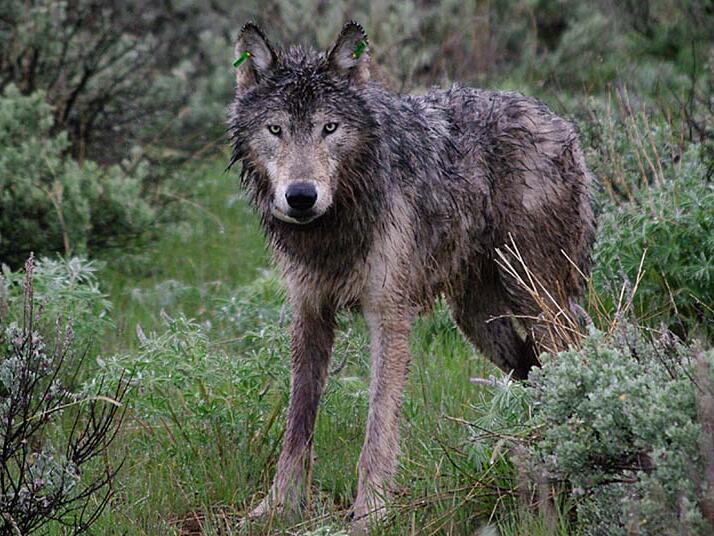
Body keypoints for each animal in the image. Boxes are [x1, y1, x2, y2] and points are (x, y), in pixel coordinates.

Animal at [228, 21, 595, 530]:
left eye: (329, 127)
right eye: (275, 129)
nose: (301, 196)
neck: (337, 226)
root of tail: (561, 122)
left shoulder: (390, 316)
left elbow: (378, 428)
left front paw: (371, 515)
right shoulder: (310, 313)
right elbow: (296, 428)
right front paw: (277, 509)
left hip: (537, 301)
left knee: (574, 361)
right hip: (479, 321)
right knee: (532, 372)